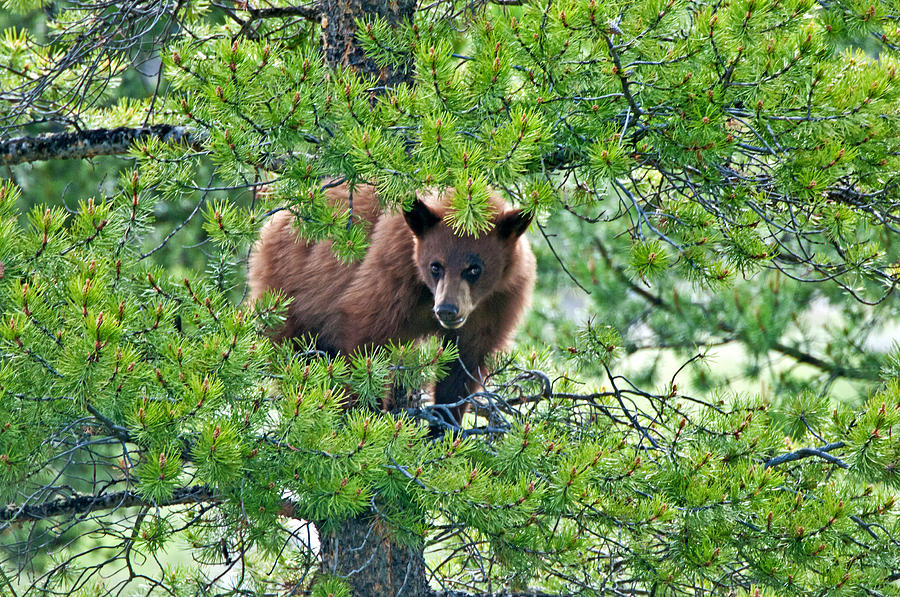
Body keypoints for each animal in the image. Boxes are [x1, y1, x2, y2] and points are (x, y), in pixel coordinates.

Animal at [248, 182, 536, 427]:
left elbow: (462, 368)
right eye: (436, 266)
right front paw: (366, 416)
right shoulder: (392, 271)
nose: (447, 309)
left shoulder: (497, 304)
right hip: (288, 296)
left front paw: (443, 431)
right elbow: (365, 337)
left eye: (474, 268)